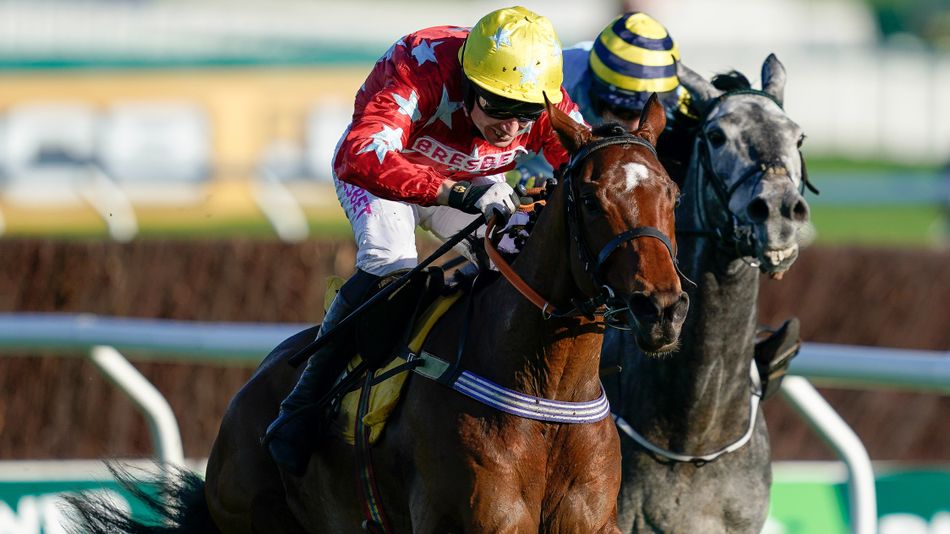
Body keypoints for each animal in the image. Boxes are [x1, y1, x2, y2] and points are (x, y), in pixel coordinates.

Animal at [66, 94, 687, 533]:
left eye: (673, 193)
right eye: (590, 199)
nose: (661, 308)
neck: (544, 390)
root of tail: (244, 397)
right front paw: (487, 197)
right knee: (386, 265)